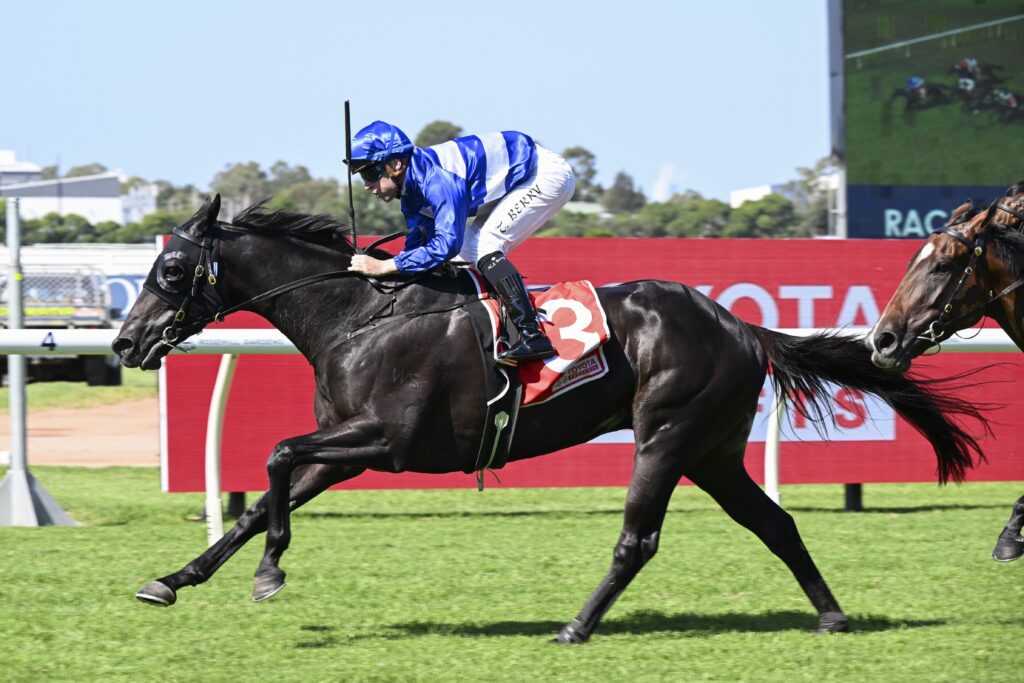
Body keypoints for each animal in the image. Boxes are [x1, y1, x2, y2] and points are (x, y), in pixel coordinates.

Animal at [114, 195, 986, 643]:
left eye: (171, 268)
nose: (124, 341)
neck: (358, 313)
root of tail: (740, 325)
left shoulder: (385, 440)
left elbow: (274, 454)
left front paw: (269, 572)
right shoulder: (346, 450)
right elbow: (263, 495)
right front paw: (173, 578)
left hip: (666, 432)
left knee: (639, 538)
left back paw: (574, 626)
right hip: (713, 448)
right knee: (775, 522)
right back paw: (833, 615)